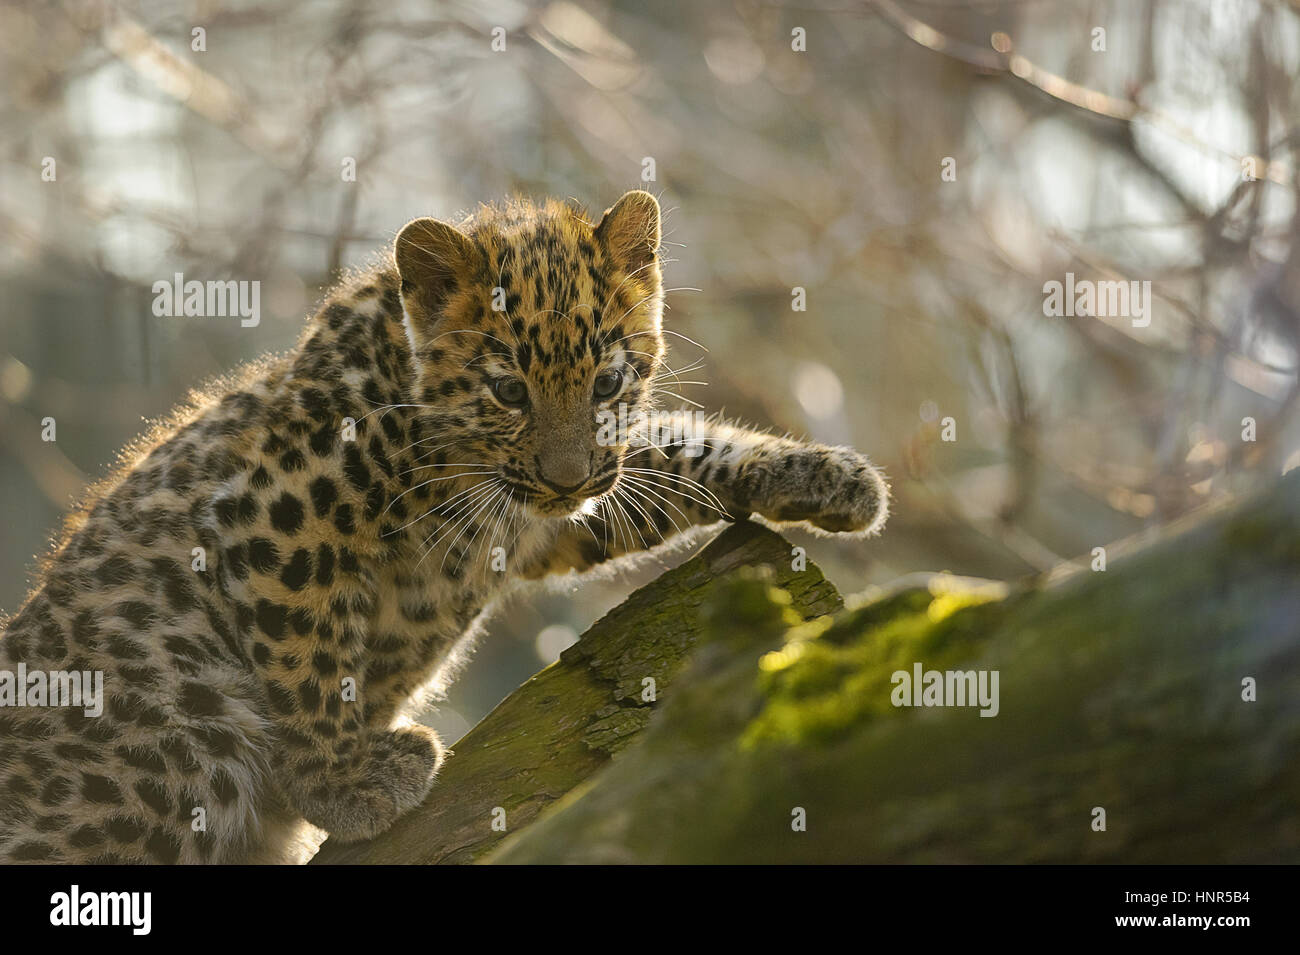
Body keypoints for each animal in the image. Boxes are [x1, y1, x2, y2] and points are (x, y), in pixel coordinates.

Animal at [0, 190, 888, 863]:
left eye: (606, 383)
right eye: (508, 390)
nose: (567, 478)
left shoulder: (547, 522)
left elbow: (672, 452)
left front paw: (831, 478)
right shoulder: (276, 512)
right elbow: (310, 658)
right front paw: (342, 784)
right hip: (176, 742)